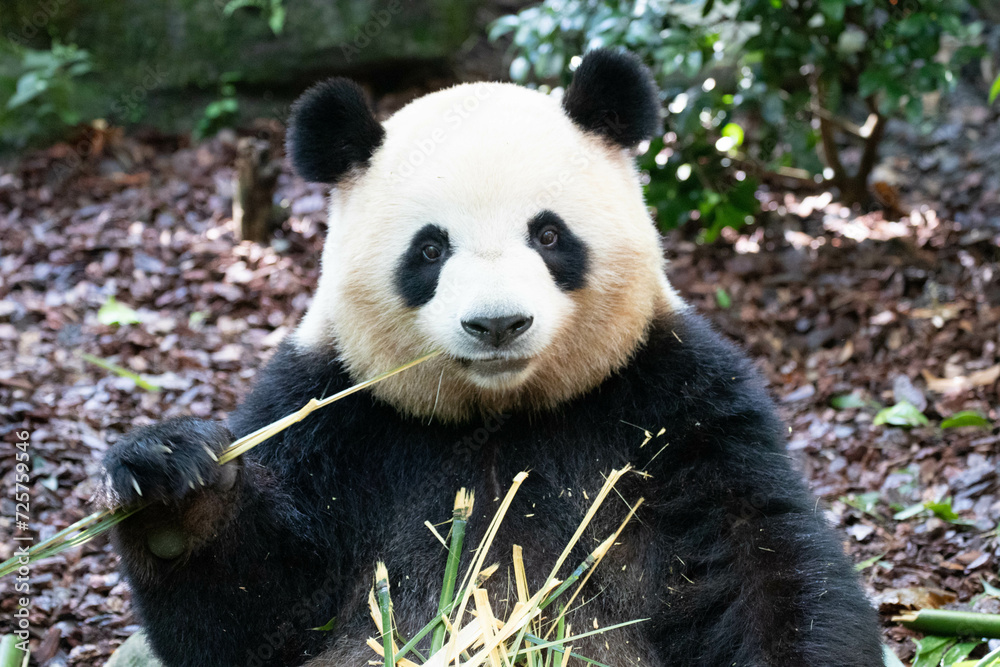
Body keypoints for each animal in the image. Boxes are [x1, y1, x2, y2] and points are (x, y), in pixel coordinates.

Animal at [99, 49, 882, 666]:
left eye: (548, 234)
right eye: (429, 249)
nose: (498, 324)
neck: (500, 411)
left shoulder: (670, 394)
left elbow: (756, 555)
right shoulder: (330, 413)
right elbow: (260, 612)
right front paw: (171, 486)